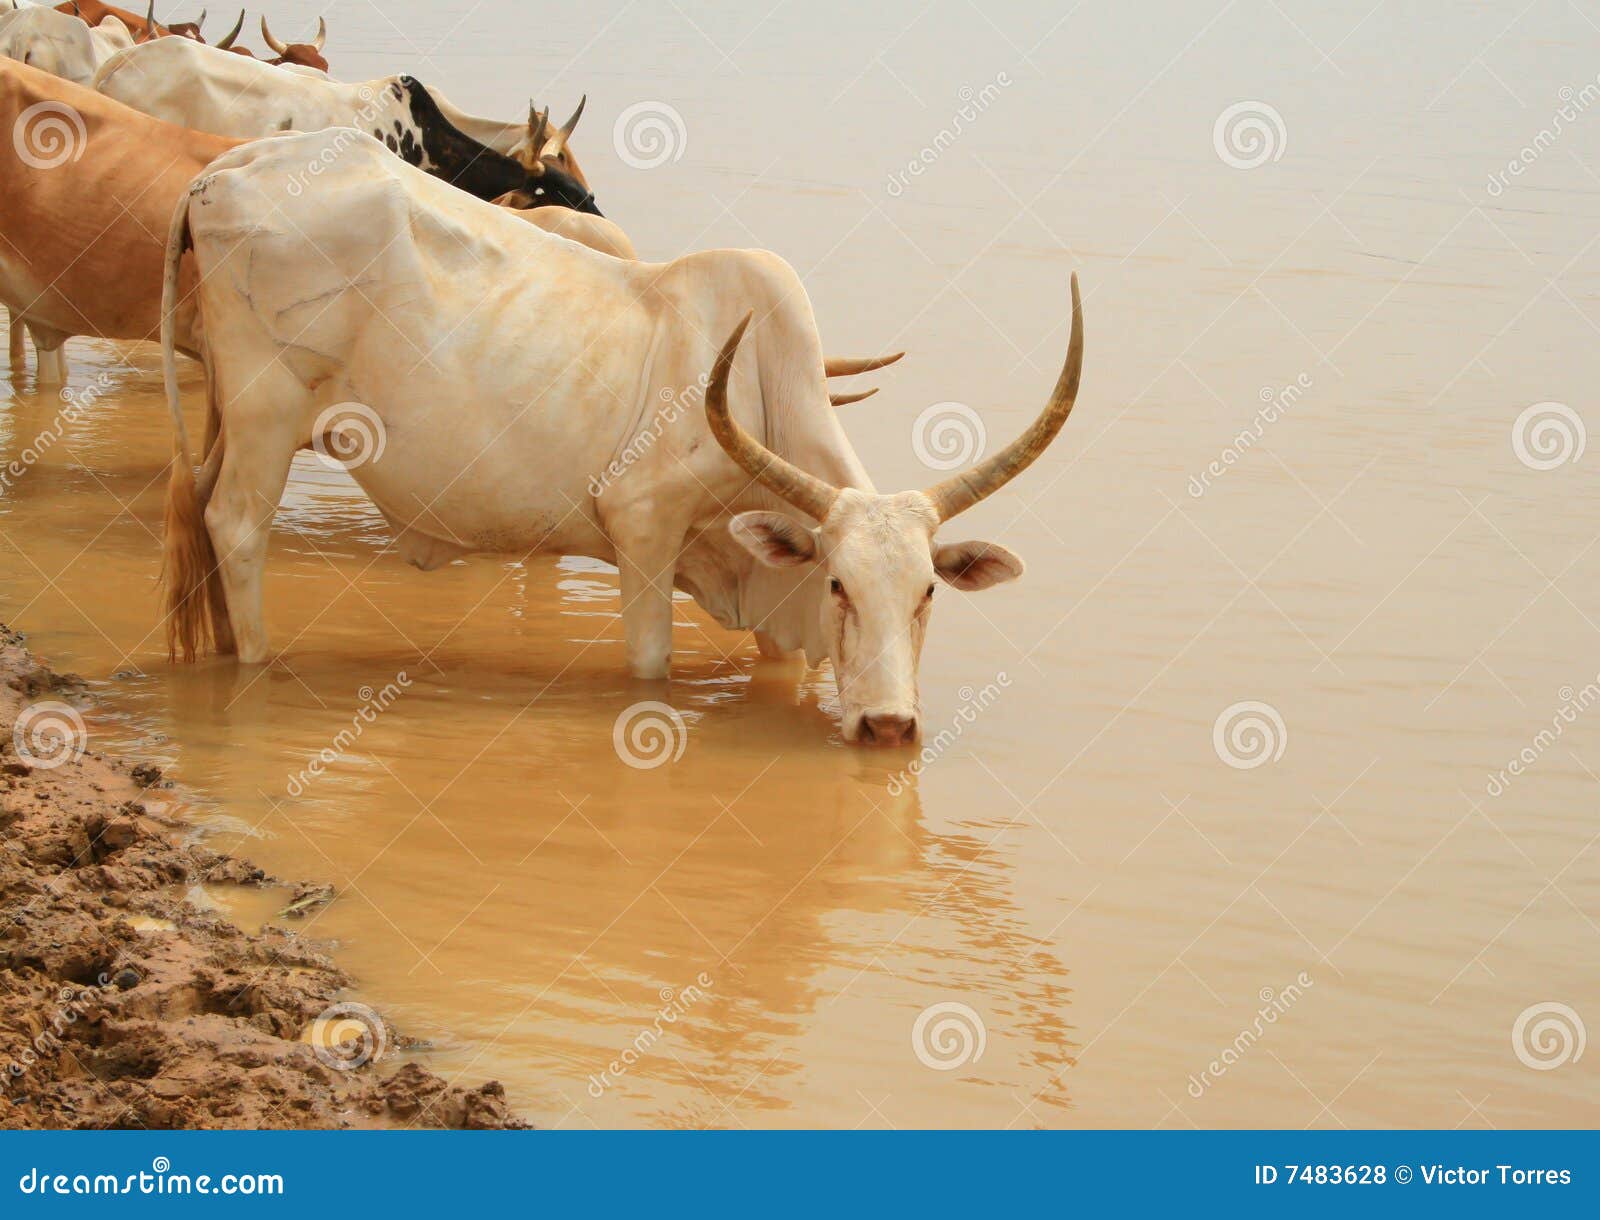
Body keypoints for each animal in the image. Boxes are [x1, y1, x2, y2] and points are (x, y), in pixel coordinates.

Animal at [157, 130, 1083, 746]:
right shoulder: (642, 530)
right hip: (267, 410)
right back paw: (257, 666)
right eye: (838, 587)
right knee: (235, 526)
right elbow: (651, 666)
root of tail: (227, 166)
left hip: (231, 419)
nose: (889, 725)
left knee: (197, 509)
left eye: (927, 592)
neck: (759, 388)